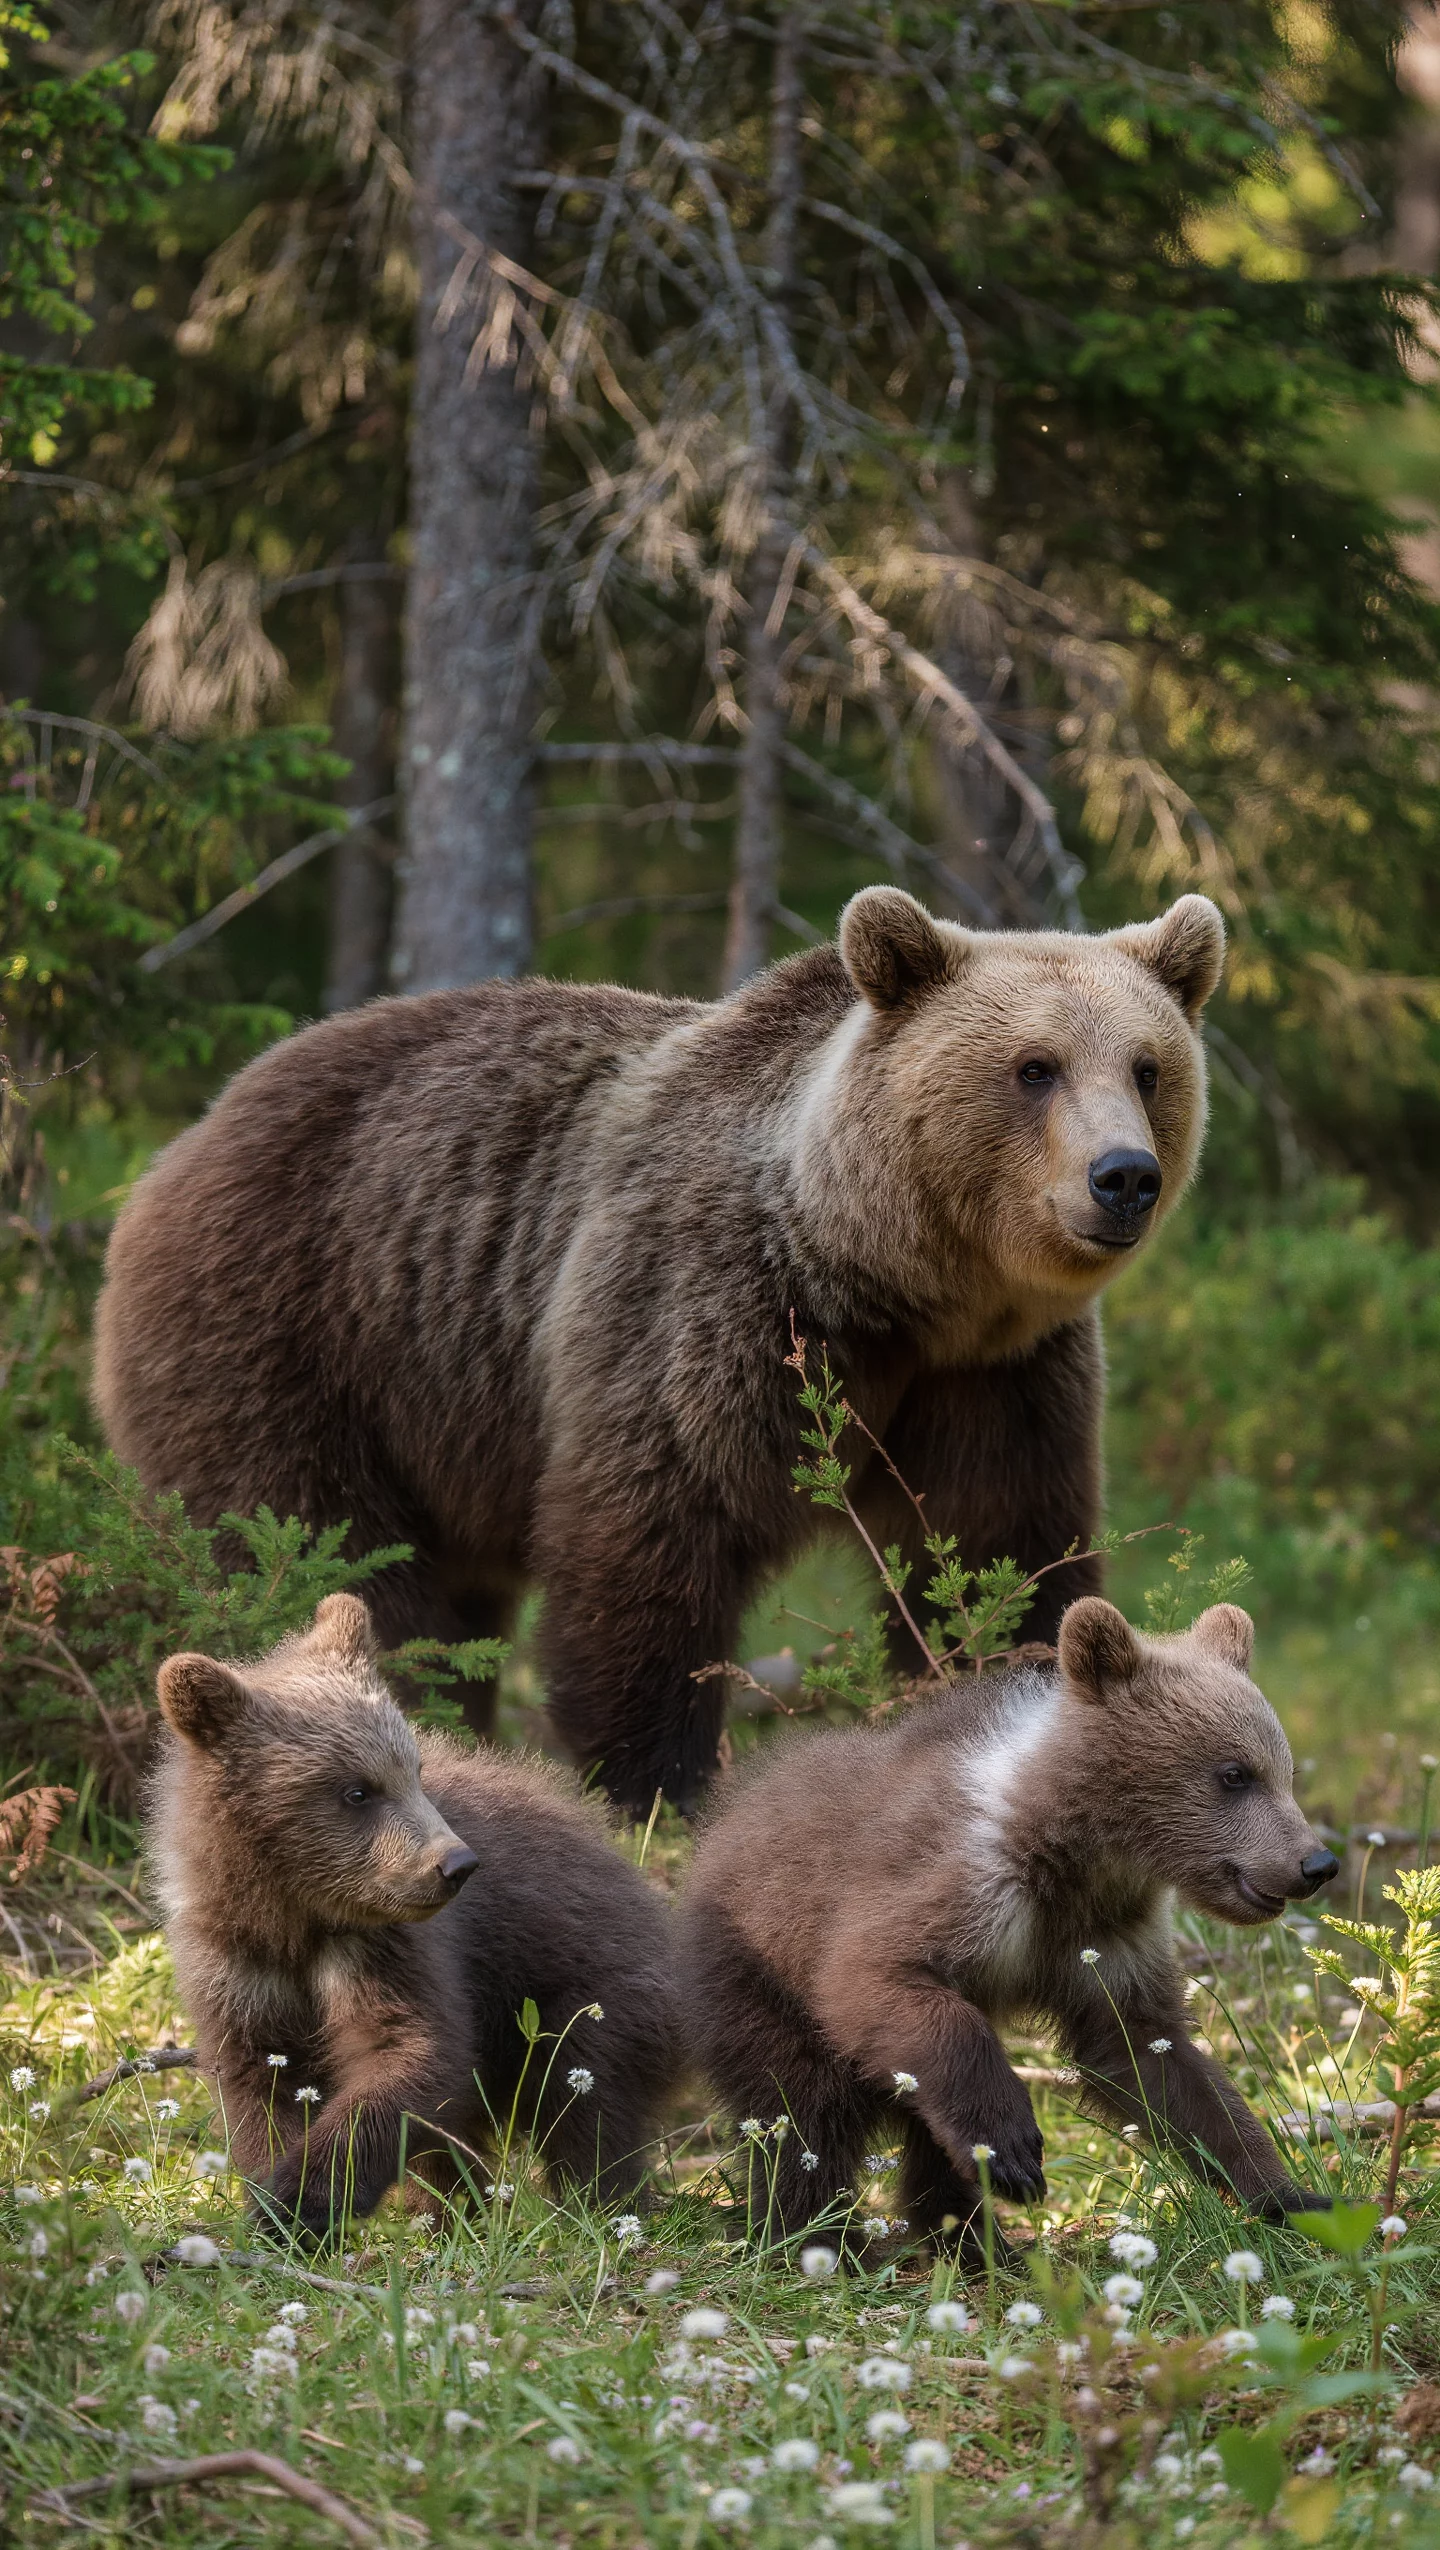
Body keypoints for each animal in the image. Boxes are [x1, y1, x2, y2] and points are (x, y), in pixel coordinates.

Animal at [97, 886, 1225, 1817]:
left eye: (1148, 1068)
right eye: (1034, 1068)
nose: (1123, 1177)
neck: (897, 1284)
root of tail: (174, 1151)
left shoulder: (997, 1377)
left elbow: (1000, 1551)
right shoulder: (705, 1301)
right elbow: (654, 1539)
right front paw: (658, 1788)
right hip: (297, 1341)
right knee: (328, 1558)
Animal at [146, 1593, 682, 2237]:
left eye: (414, 1770)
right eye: (357, 1791)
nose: (456, 1864)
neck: (294, 1913)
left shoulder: (387, 1947)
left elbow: (409, 2051)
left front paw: (305, 2197)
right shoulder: (237, 1963)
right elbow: (262, 2084)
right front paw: (276, 2203)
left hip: (598, 1993)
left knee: (585, 2097)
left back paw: (598, 2209)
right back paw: (455, 2211)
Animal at [677, 1598, 1338, 2256]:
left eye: (1285, 1772)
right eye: (1234, 1773)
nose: (1317, 1864)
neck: (1072, 1857)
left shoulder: (1106, 1938)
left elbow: (1150, 2057)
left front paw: (1291, 2195)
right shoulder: (959, 1883)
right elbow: (875, 1976)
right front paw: (1015, 2147)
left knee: (921, 2129)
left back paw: (970, 2241)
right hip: (757, 1978)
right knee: (803, 2114)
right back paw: (821, 2242)